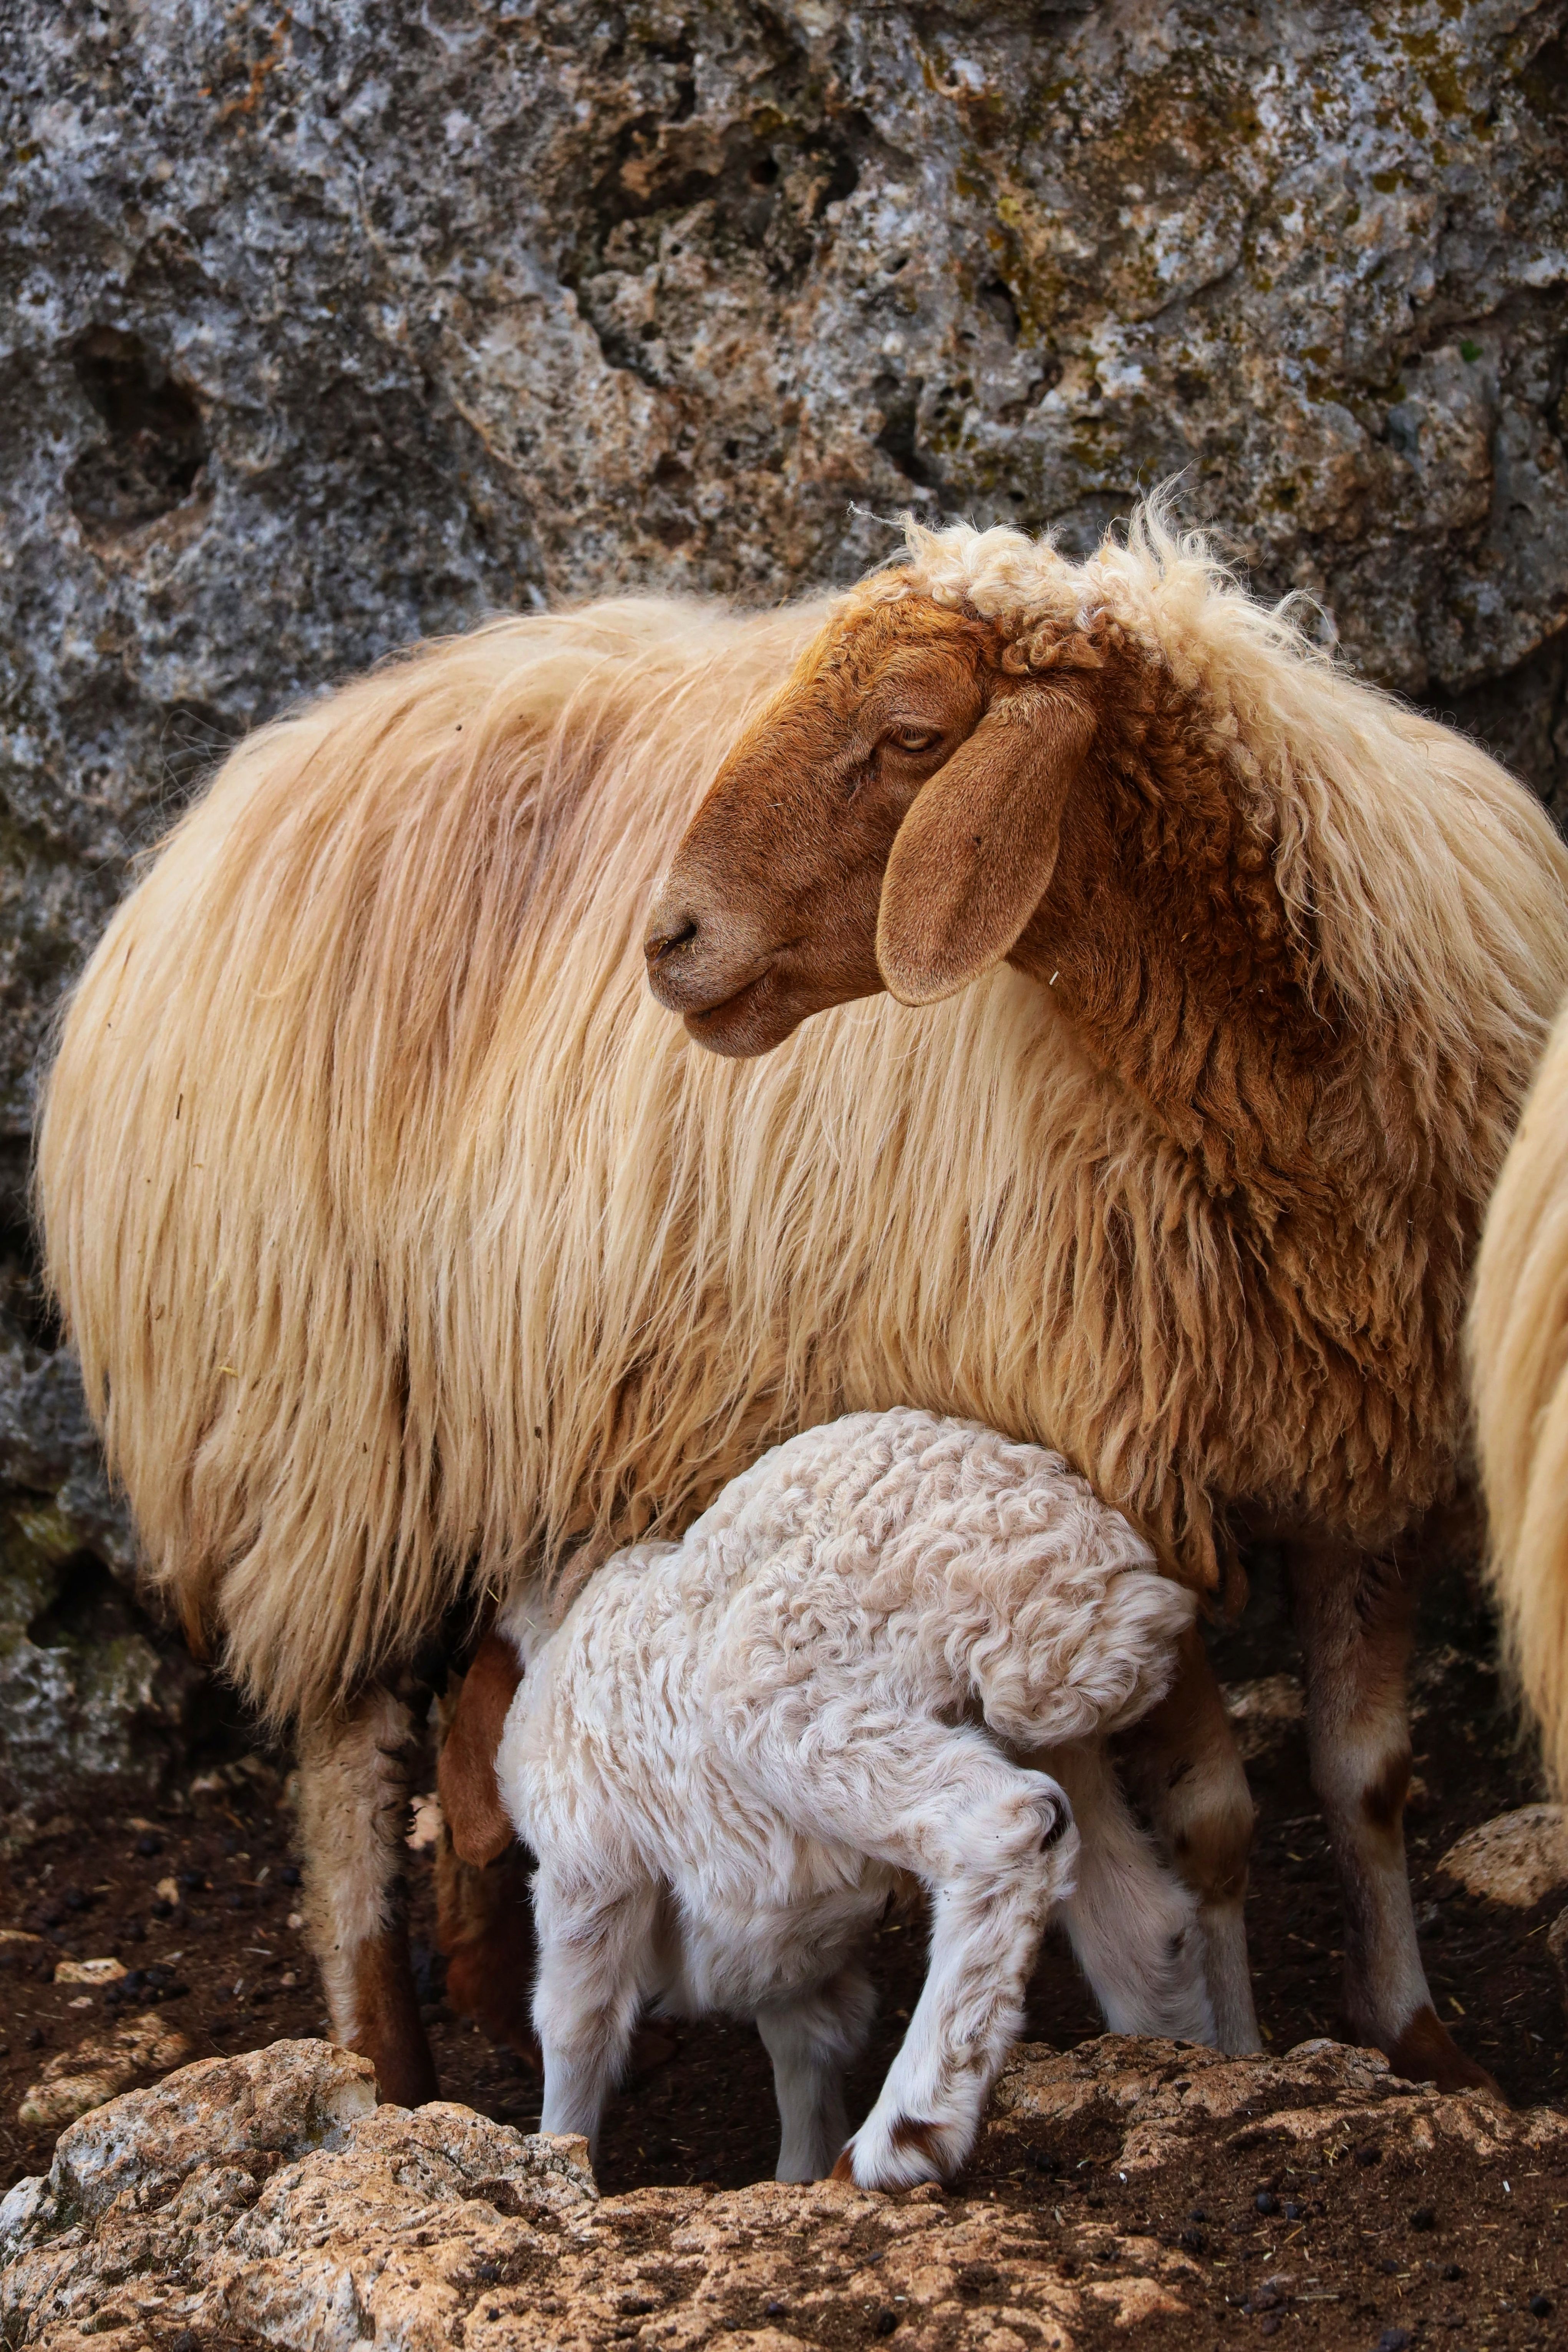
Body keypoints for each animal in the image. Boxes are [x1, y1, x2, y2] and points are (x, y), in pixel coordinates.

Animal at [35, 504, 1568, 2109]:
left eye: (911, 736)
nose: (666, 937)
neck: (1275, 1093)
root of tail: (238, 796)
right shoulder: (1119, 1479)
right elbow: (1214, 1819)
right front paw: (1233, 2049)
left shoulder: (1371, 1455)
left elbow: (1367, 1779)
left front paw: (1415, 2034)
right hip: (318, 1433)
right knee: (346, 1762)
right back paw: (383, 2059)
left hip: (497, 1435)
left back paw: (486, 1973)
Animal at [436, 1409, 1213, 2188]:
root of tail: (1071, 1563)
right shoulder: (785, 1940)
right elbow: (808, 2042)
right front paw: (798, 2172)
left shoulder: (587, 1865)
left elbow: (577, 2025)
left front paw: (558, 2153)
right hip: (1052, 1742)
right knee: (1138, 1925)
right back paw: (1168, 2053)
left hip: (799, 1693)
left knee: (1007, 1823)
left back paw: (905, 2133)